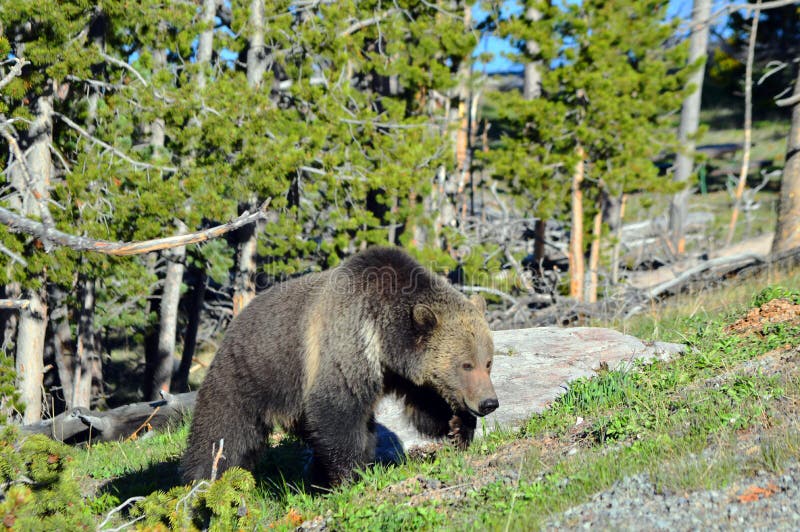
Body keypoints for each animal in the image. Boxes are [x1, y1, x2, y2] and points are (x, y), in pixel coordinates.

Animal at [181, 246, 498, 486]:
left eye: (488, 363)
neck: (384, 339)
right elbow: (337, 412)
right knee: (222, 431)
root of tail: (235, 321)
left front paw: (459, 427)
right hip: (250, 373)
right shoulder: (347, 345)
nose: (489, 403)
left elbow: (424, 407)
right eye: (466, 364)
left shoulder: (400, 372)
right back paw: (200, 482)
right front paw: (350, 475)